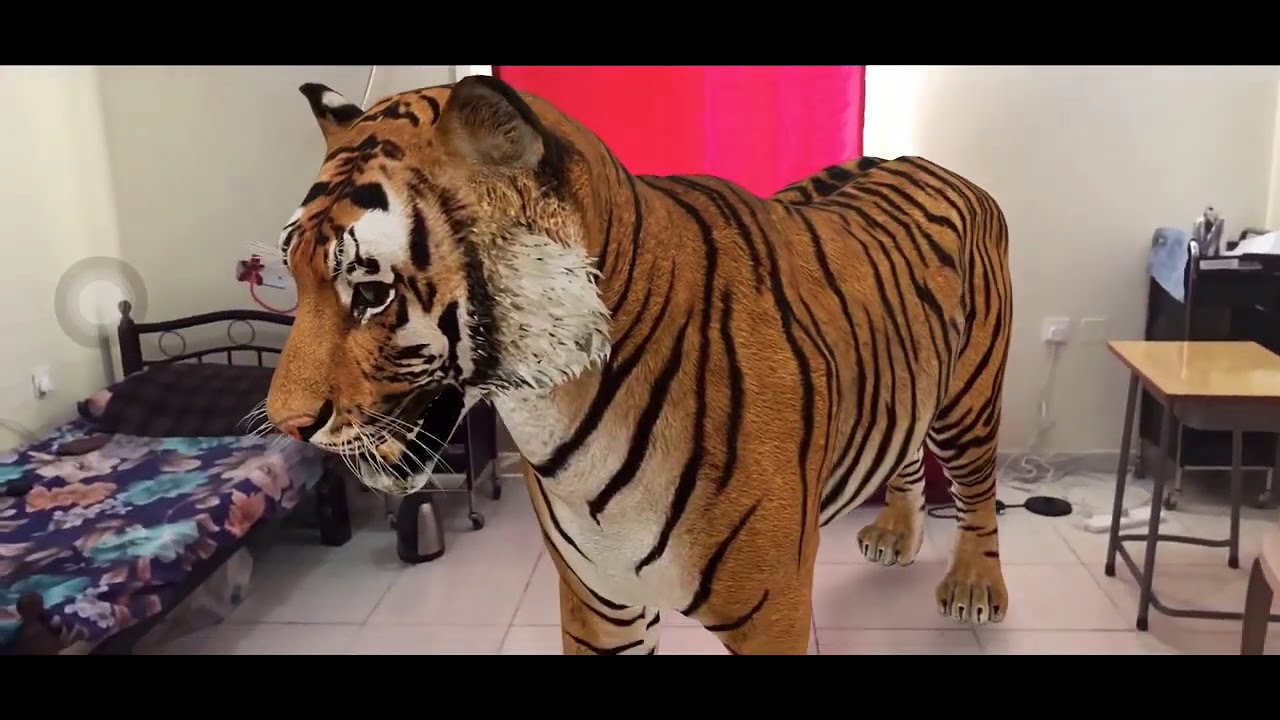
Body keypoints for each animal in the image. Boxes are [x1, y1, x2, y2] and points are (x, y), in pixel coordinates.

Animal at [264, 73, 1013, 656]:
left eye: (372, 293)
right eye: (293, 275)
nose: (286, 426)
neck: (559, 421)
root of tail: (932, 164)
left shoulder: (772, 609)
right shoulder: (597, 604)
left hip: (969, 400)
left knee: (977, 492)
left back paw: (975, 587)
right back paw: (896, 535)